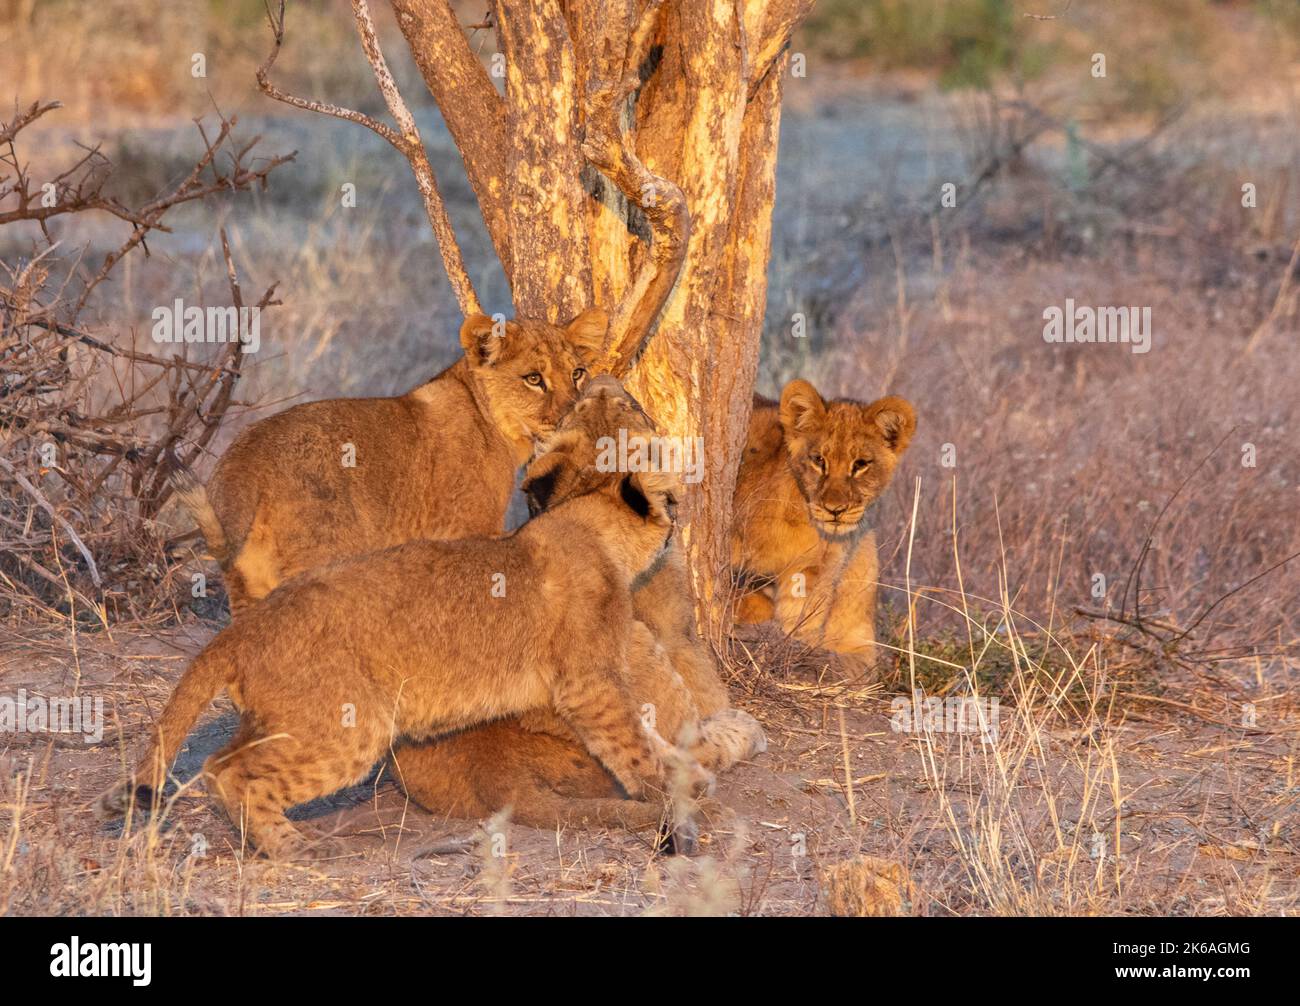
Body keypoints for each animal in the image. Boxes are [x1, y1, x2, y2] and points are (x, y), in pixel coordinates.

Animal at [97, 409, 711, 860]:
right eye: (671, 503)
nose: (679, 523)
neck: (593, 530)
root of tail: (248, 626)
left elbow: (648, 735)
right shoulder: (589, 686)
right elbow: (632, 747)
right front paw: (666, 805)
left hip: (281, 715)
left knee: (215, 762)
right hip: (346, 727)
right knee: (236, 772)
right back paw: (295, 848)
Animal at [170, 309, 606, 615]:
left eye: (578, 373)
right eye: (533, 379)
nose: (573, 413)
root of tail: (240, 464)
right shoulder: (467, 528)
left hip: (247, 587)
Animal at [389, 377, 766, 831]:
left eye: (580, 404)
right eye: (635, 406)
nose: (601, 380)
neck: (594, 496)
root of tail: (497, 775)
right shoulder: (677, 635)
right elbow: (706, 695)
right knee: (695, 748)